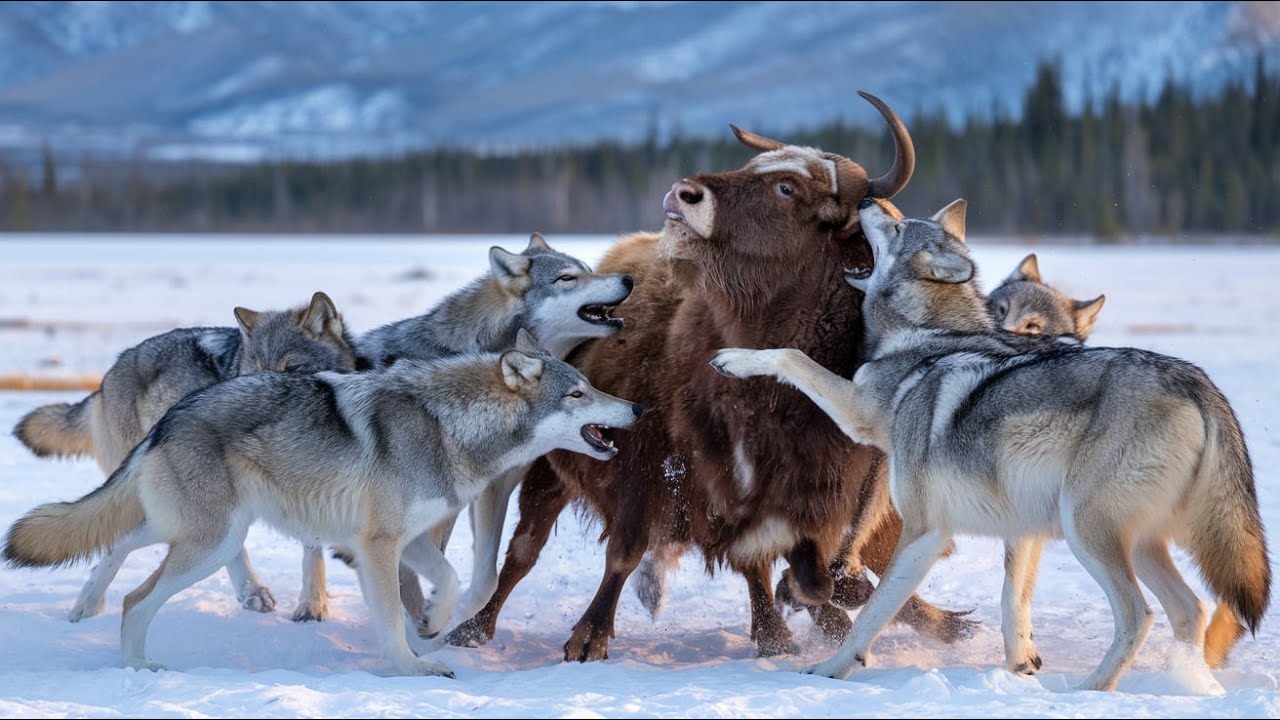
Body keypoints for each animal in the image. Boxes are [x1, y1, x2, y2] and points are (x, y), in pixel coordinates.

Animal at [4, 330, 642, 677]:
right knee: (136, 599)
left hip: (201, 536)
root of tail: (172, 418)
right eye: (577, 392)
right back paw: (137, 667)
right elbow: (393, 616)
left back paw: (88, 608)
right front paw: (413, 667)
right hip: (211, 545)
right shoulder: (378, 544)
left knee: (112, 546)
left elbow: (452, 578)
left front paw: (435, 621)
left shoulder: (403, 538)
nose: (637, 408)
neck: (450, 425)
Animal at [12, 292, 360, 622]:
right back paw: (88, 606)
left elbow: (313, 547)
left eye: (291, 369)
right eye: (255, 373)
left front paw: (313, 605)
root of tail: (108, 376)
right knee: (119, 542)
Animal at [711, 198, 1270, 691]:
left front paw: (830, 671)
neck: (927, 336)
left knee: (1140, 614)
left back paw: (1091, 689)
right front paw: (1019, 664)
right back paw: (1189, 684)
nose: (867, 199)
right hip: (1139, 542)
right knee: (1191, 609)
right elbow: (1011, 597)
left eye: (897, 226)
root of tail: (1196, 381)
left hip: (1088, 530)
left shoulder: (920, 522)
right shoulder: (1019, 524)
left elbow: (792, 356)